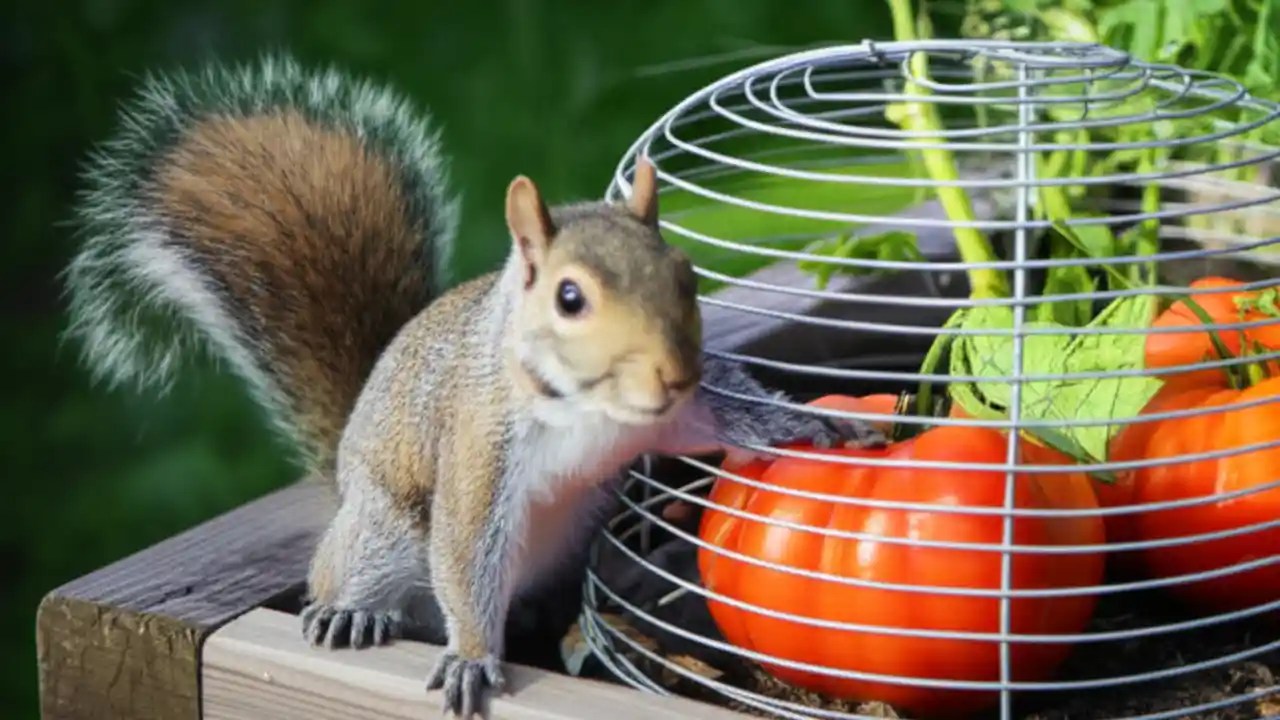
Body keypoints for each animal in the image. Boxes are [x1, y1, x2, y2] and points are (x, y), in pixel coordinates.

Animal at [63, 55, 883, 718]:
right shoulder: (477, 445)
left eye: (684, 273)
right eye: (569, 298)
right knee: (346, 573)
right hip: (385, 532)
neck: (591, 410)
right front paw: (473, 659)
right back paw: (351, 615)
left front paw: (816, 426)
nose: (672, 369)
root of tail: (344, 476)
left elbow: (725, 413)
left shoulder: (664, 415)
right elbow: (464, 552)